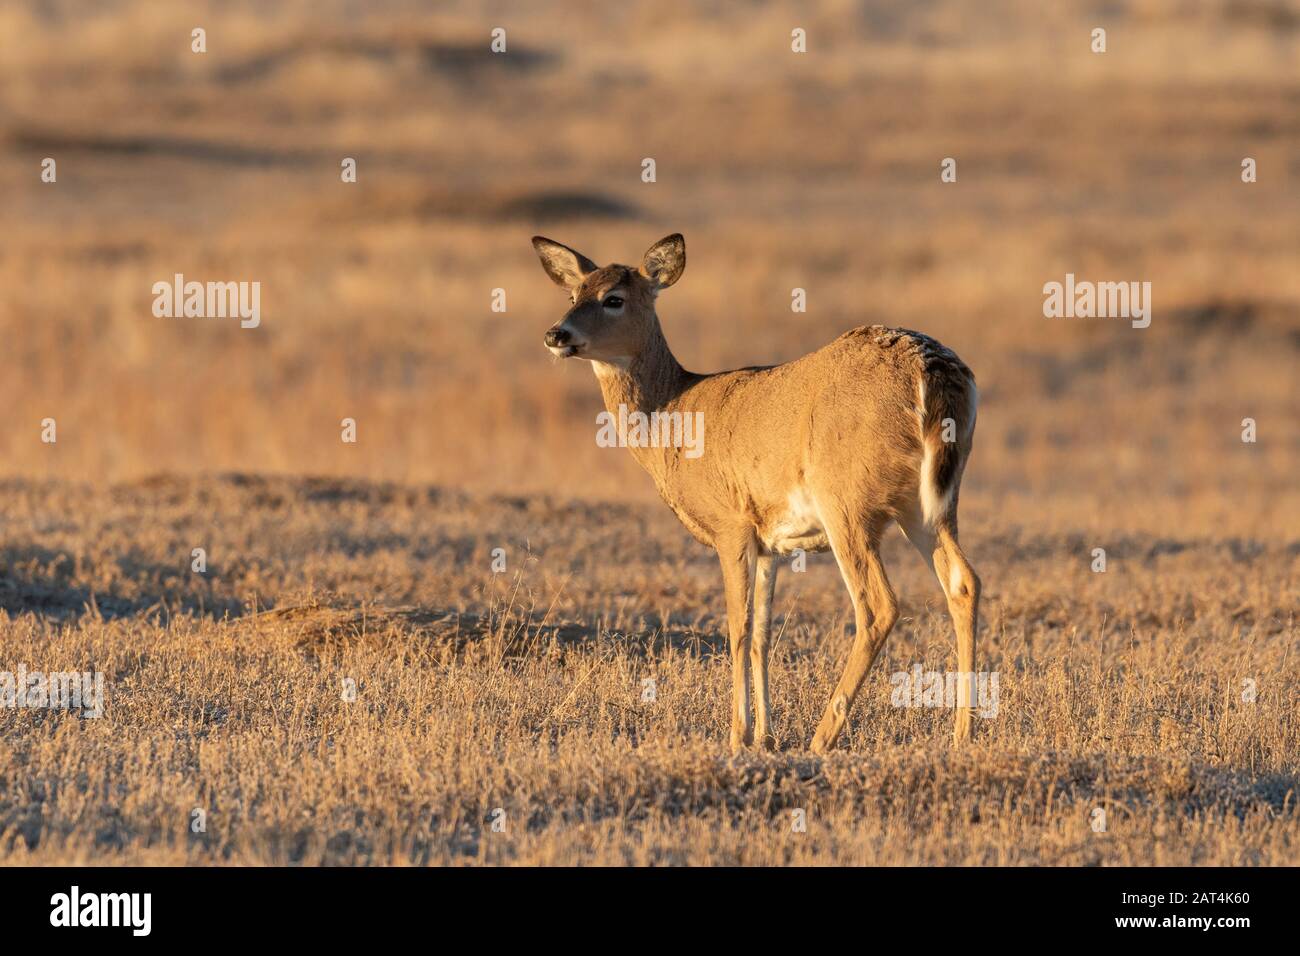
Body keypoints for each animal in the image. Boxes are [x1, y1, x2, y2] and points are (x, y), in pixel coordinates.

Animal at [533, 233, 981, 754]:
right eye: (573, 294)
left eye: (613, 299)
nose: (556, 335)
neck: (672, 417)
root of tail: (932, 369)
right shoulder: (771, 543)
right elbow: (765, 631)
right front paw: (765, 733)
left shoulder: (731, 525)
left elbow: (738, 626)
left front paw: (736, 735)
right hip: (928, 503)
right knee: (963, 582)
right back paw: (963, 732)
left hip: (845, 502)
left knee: (878, 604)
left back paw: (822, 737)